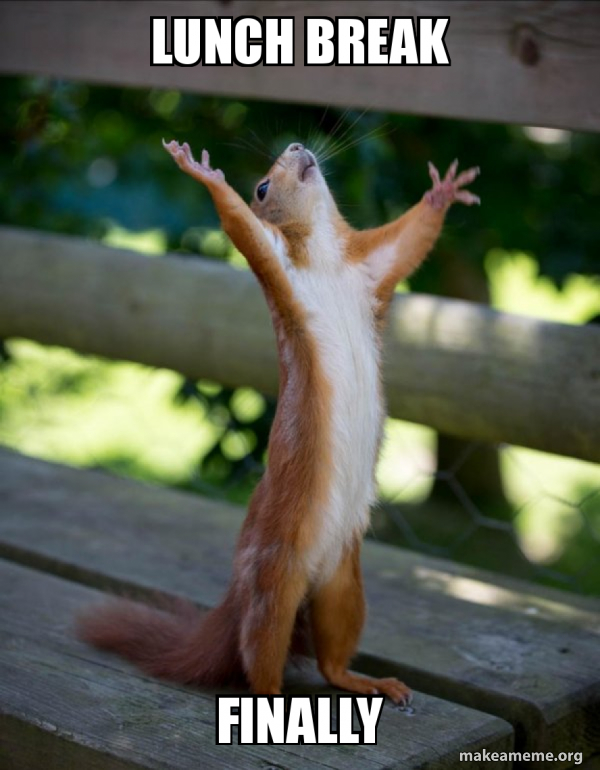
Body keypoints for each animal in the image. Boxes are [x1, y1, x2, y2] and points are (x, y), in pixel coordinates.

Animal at [77, 139, 479, 704]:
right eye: (262, 187)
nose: (296, 146)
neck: (327, 258)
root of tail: (238, 595)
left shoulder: (372, 267)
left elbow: (410, 239)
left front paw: (442, 192)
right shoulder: (277, 264)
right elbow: (240, 226)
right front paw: (203, 173)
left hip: (344, 585)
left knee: (332, 658)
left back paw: (368, 681)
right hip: (273, 583)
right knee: (258, 657)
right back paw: (274, 697)